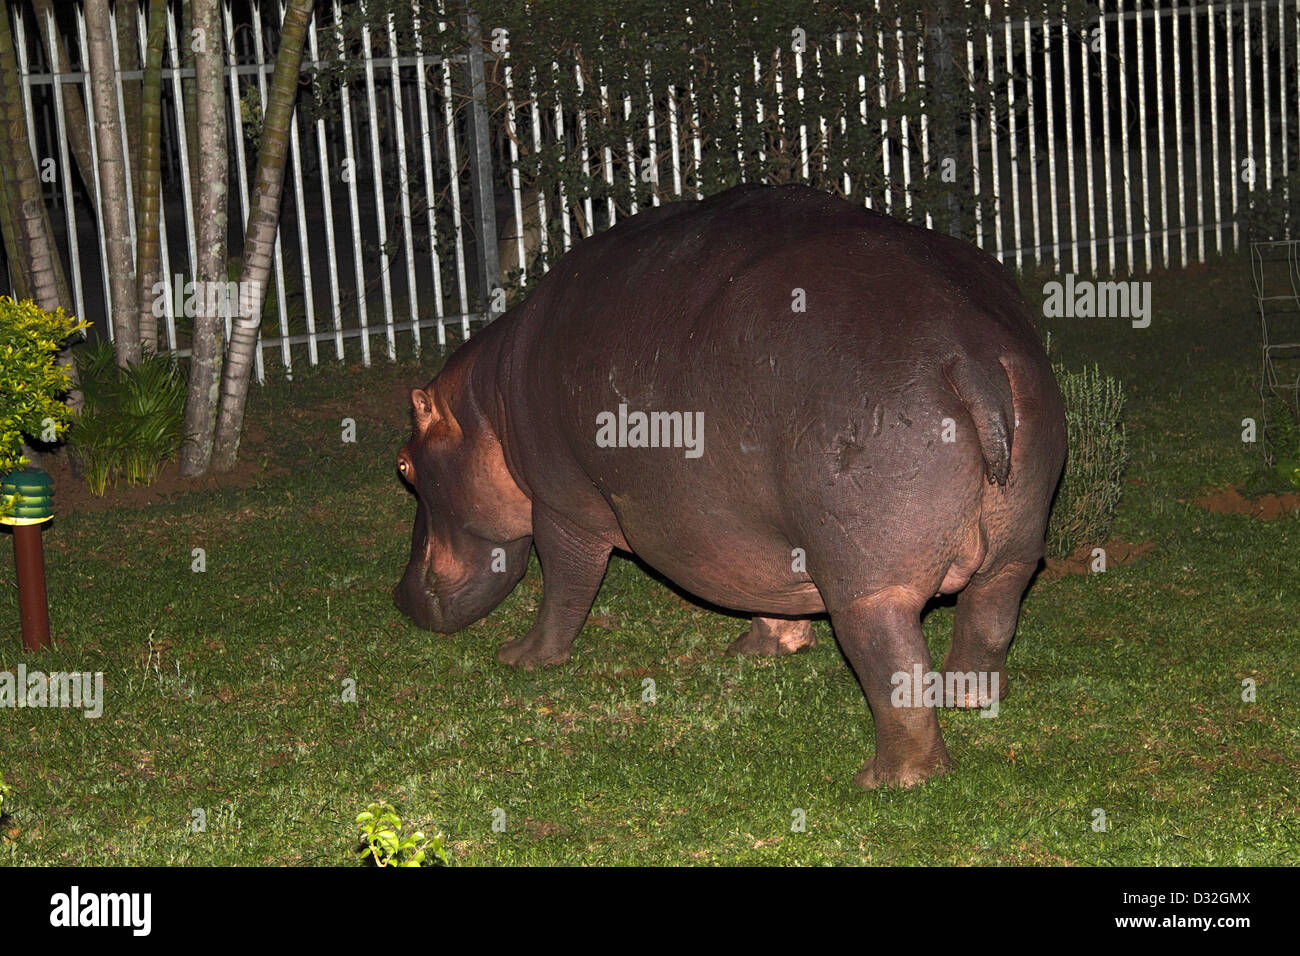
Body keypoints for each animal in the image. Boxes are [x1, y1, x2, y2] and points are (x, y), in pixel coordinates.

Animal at [394, 184, 1066, 788]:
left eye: (403, 465)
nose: (399, 597)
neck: (488, 409)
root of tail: (971, 356)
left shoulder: (564, 504)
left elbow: (564, 586)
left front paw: (523, 657)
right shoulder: (743, 528)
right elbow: (761, 586)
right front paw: (762, 648)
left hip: (870, 583)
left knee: (895, 664)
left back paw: (887, 779)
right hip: (1013, 547)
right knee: (989, 619)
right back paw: (968, 699)